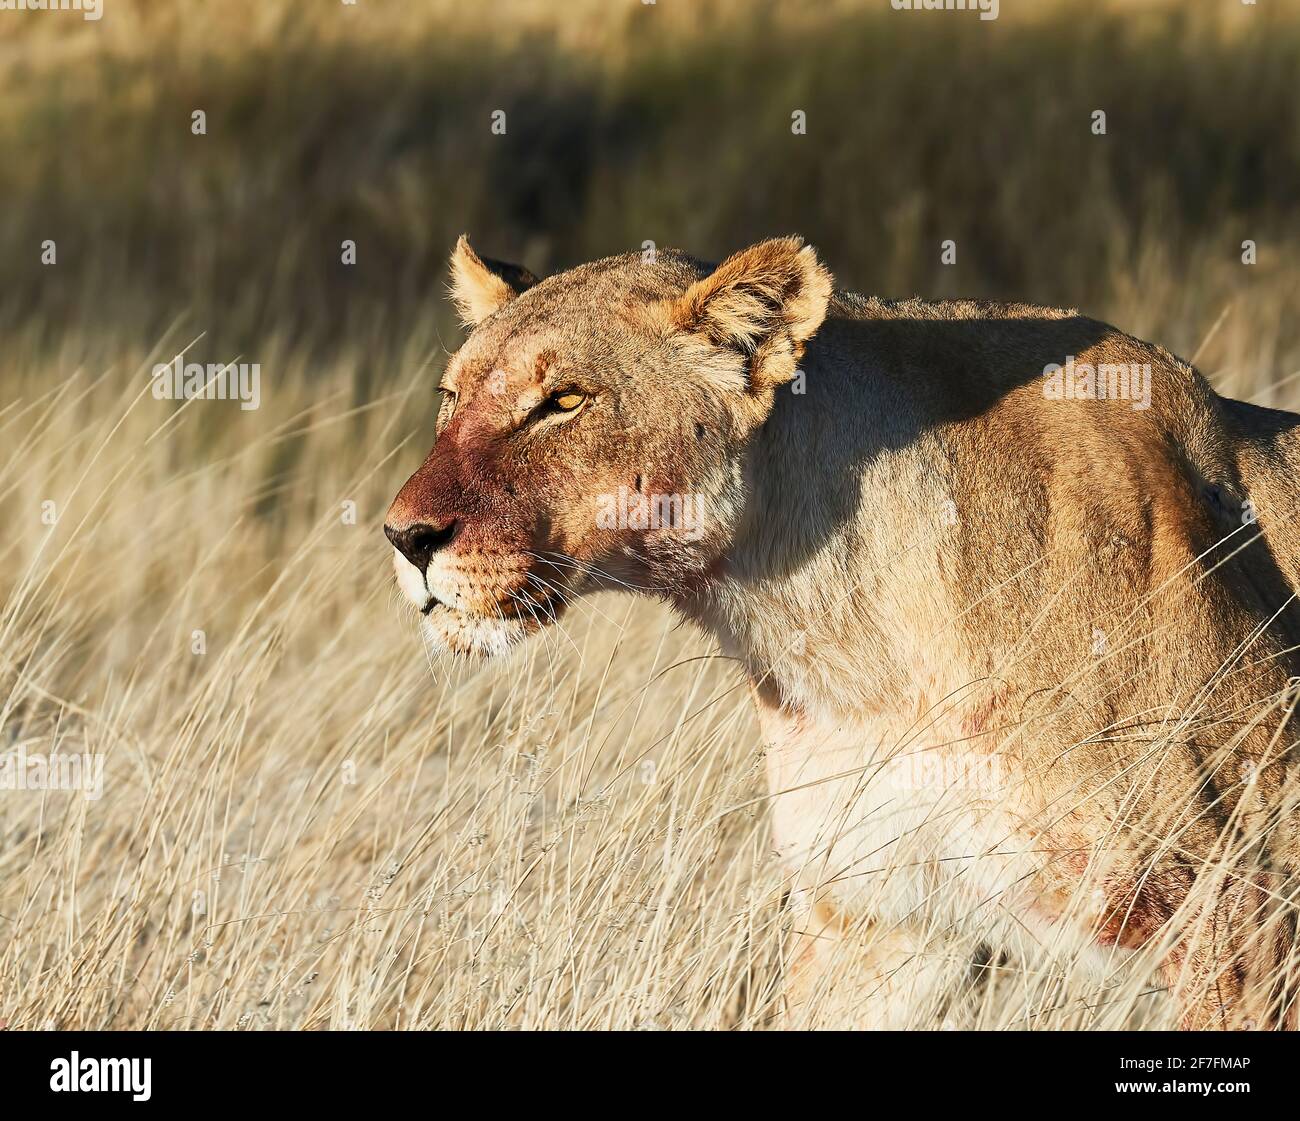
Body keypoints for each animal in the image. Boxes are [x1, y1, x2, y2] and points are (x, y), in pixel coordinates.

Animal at [386, 235, 1300, 1029]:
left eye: (564, 401)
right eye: (451, 397)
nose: (404, 537)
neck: (839, 646)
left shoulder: (1246, 908)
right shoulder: (876, 916)